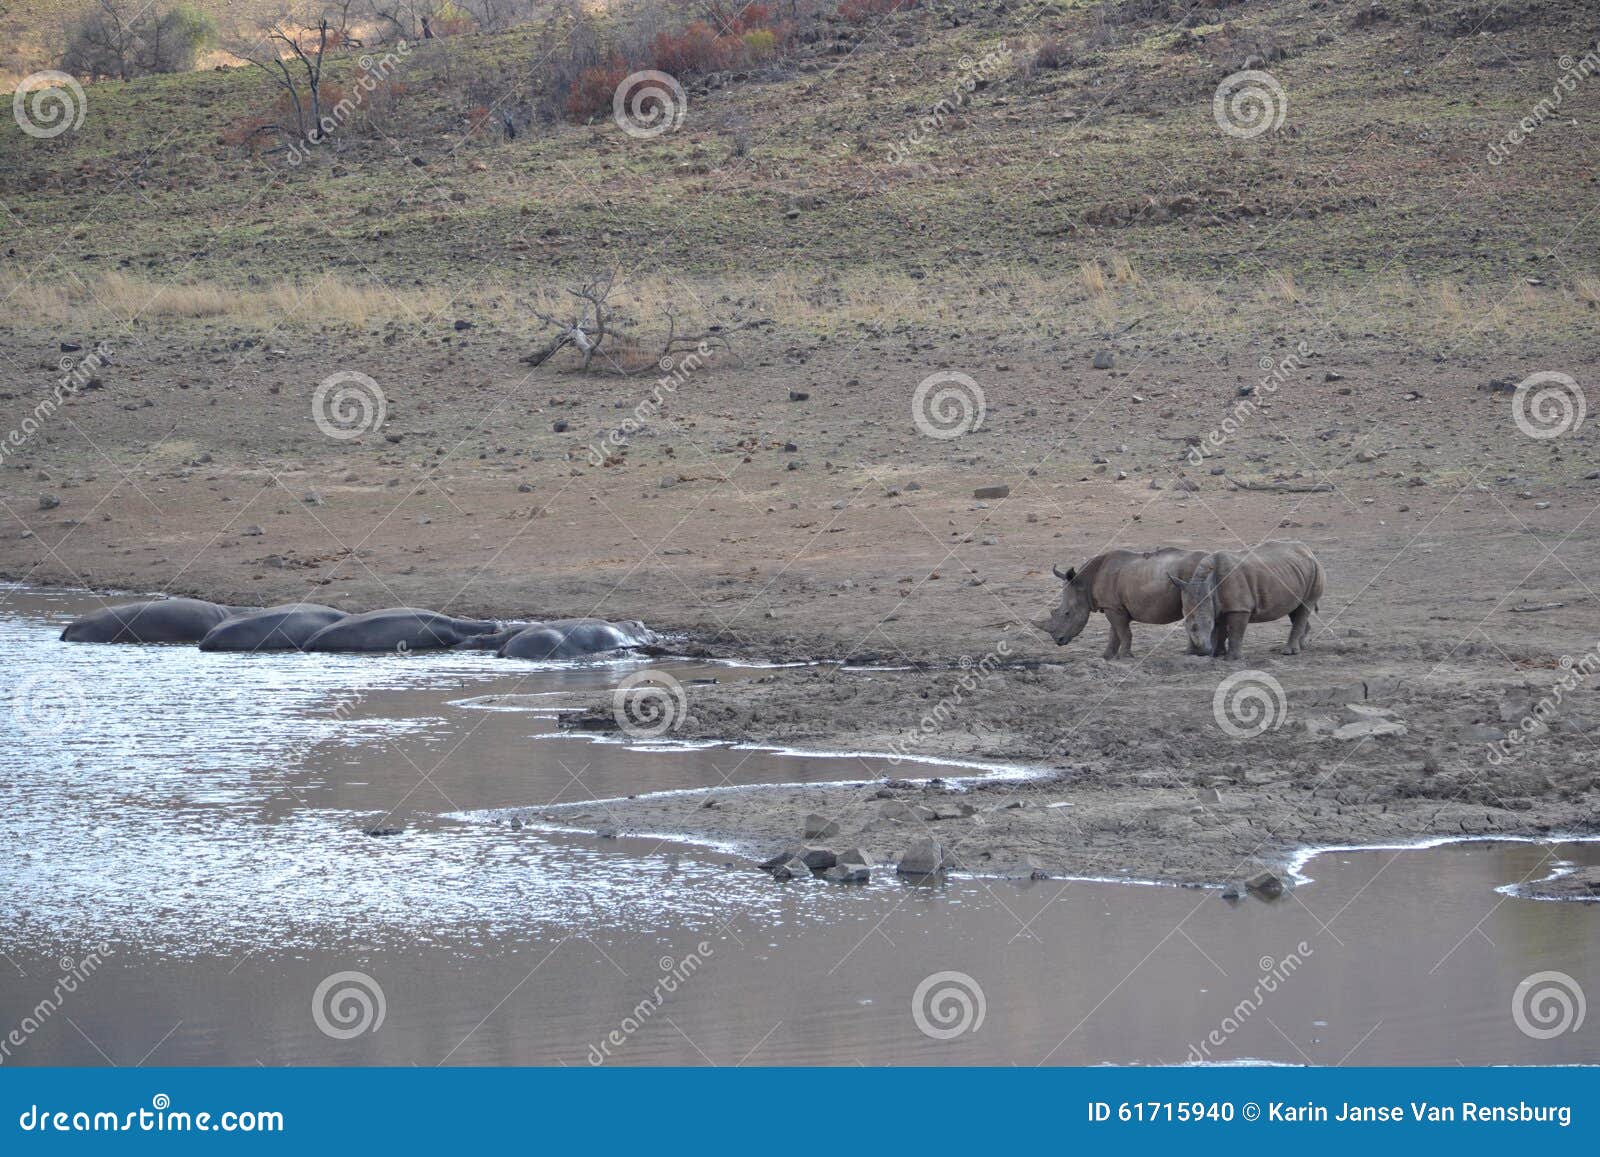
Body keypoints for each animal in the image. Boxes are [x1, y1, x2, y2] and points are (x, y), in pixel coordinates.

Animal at [1032, 547, 1210, 658]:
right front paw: (1107, 657)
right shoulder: (1112, 605)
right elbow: (1114, 632)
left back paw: (1191, 653)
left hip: (1192, 577)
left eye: (1067, 613)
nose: (1058, 641)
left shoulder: (1114, 608)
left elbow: (1123, 632)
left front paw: (1125, 657)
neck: (1083, 583)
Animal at [1172, 540, 1325, 658]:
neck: (1207, 582)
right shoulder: (1219, 604)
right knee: (1295, 609)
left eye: (1209, 622)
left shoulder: (1239, 607)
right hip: (1296, 572)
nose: (1200, 652)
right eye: (1185, 623)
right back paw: (1303, 646)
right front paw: (1216, 654)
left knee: (1304, 606)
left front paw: (1231, 658)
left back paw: (1289, 652)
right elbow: (1220, 629)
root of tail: (1309, 552)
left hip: (1316, 570)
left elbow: (1235, 630)